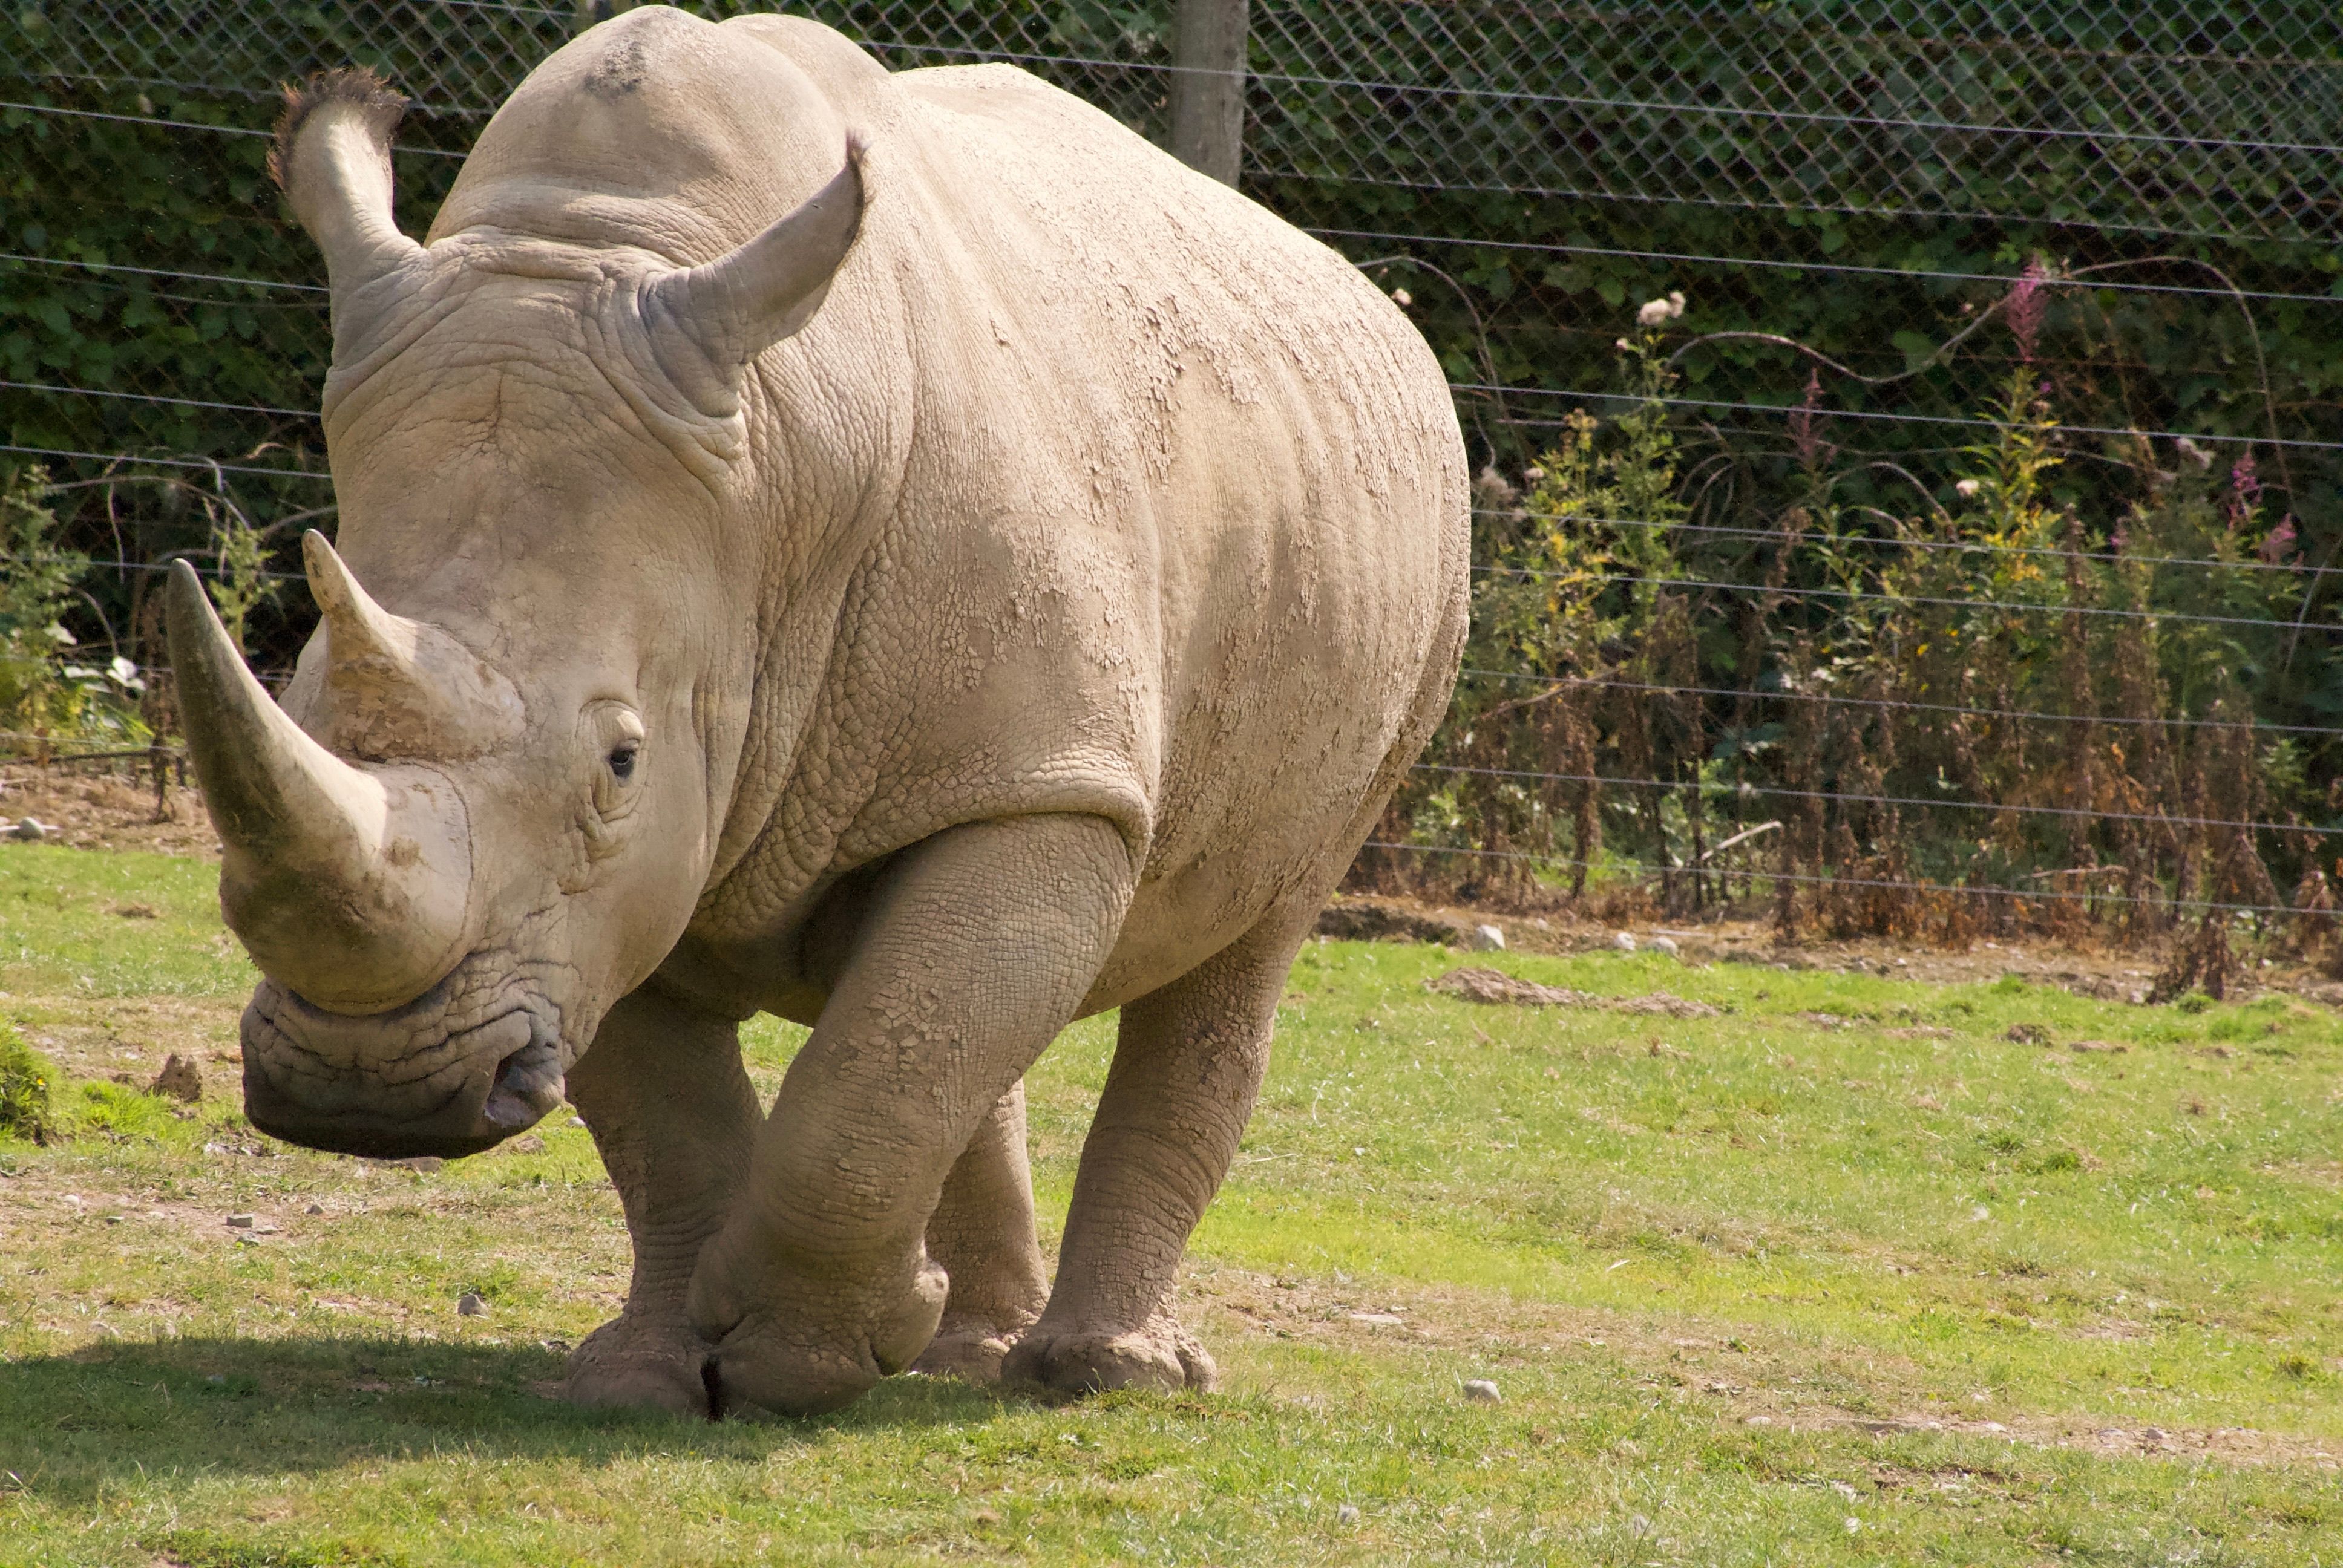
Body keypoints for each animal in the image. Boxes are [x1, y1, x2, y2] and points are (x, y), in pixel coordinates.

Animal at [169, 5, 1465, 1416]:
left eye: (618, 761)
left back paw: (1102, 1378)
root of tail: (1375, 306)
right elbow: (686, 1110)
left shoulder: (1041, 777)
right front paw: (643, 1381)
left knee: (1238, 944)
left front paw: (800, 1363)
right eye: (293, 696)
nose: (366, 1089)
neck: (776, 477)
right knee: (945, 1011)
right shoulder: (595, 901)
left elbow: (874, 1077)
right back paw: (969, 1348)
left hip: (1405, 580)